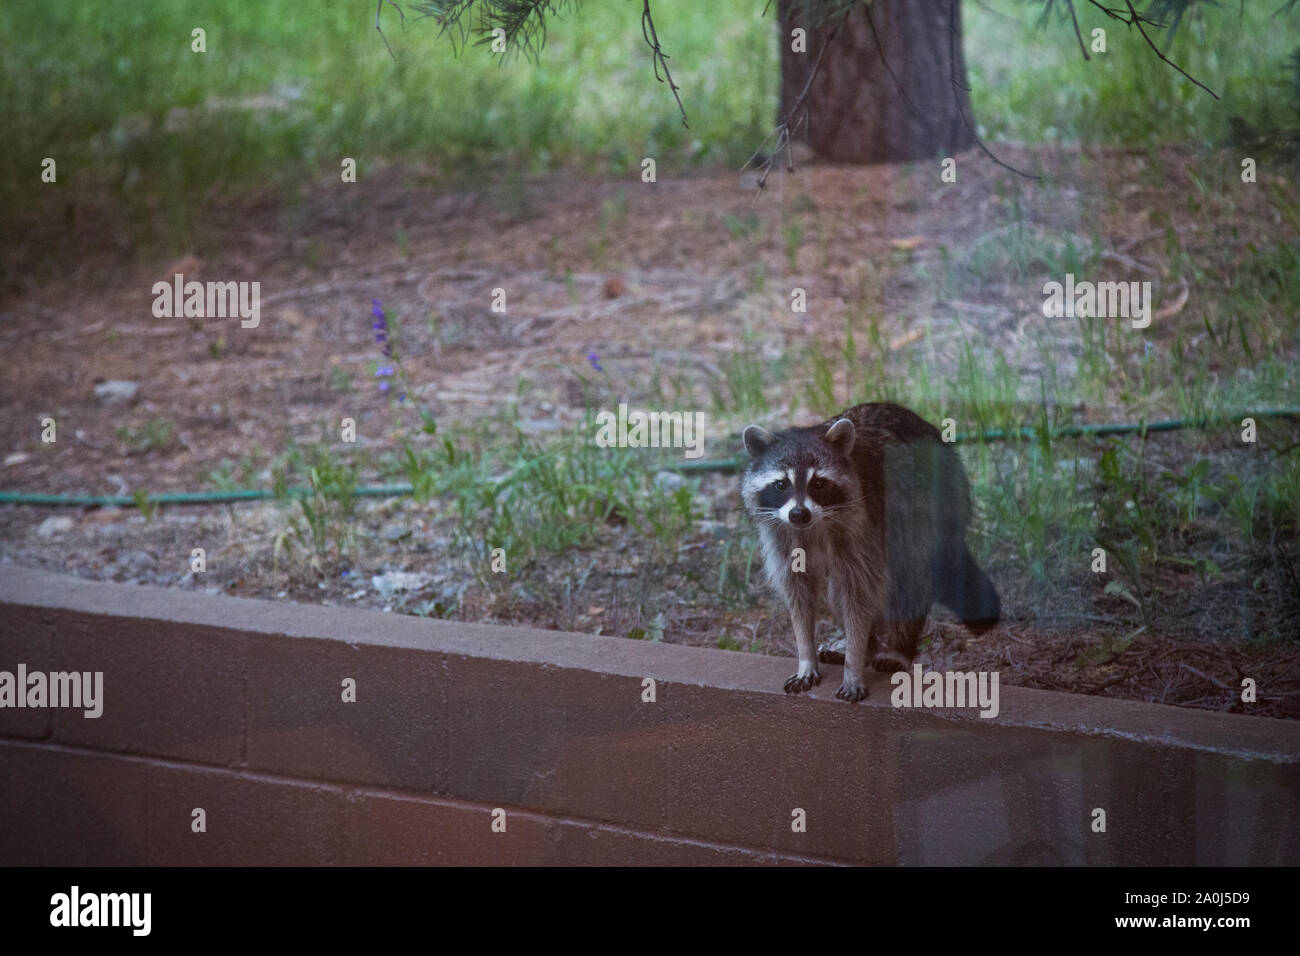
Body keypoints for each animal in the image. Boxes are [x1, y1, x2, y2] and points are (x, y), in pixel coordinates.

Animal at [741, 402, 1000, 702]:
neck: (814, 524)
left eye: (818, 483)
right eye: (781, 484)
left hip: (933, 508)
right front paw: (807, 657)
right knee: (837, 594)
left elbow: (860, 594)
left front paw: (854, 665)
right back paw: (870, 647)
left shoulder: (862, 526)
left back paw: (897, 648)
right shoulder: (782, 536)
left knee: (907, 584)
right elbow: (799, 593)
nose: (798, 514)